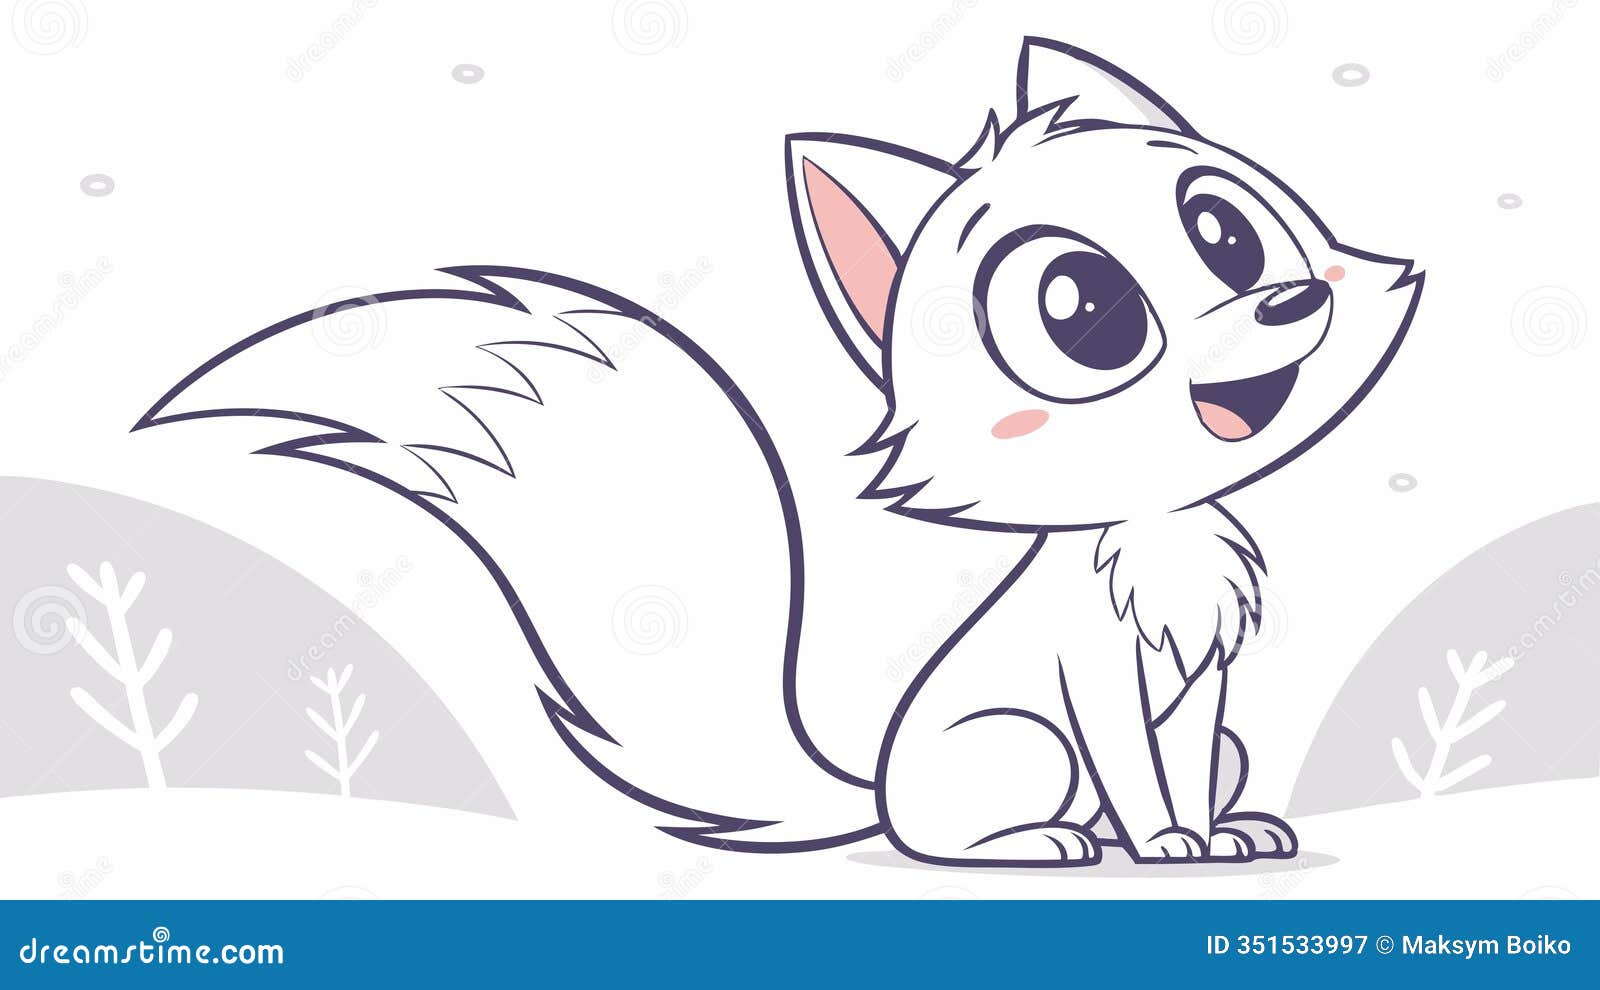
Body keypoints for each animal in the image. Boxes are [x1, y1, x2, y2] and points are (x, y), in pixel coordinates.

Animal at [138, 39, 1421, 867]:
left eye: (1225, 231)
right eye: (1079, 311)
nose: (1286, 304)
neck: (1151, 523)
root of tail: (877, 791)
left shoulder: (1206, 679)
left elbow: (1188, 752)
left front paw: (1205, 834)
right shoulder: (1094, 673)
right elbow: (1132, 757)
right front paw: (1164, 841)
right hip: (1014, 746)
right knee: (962, 834)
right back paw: (1047, 842)